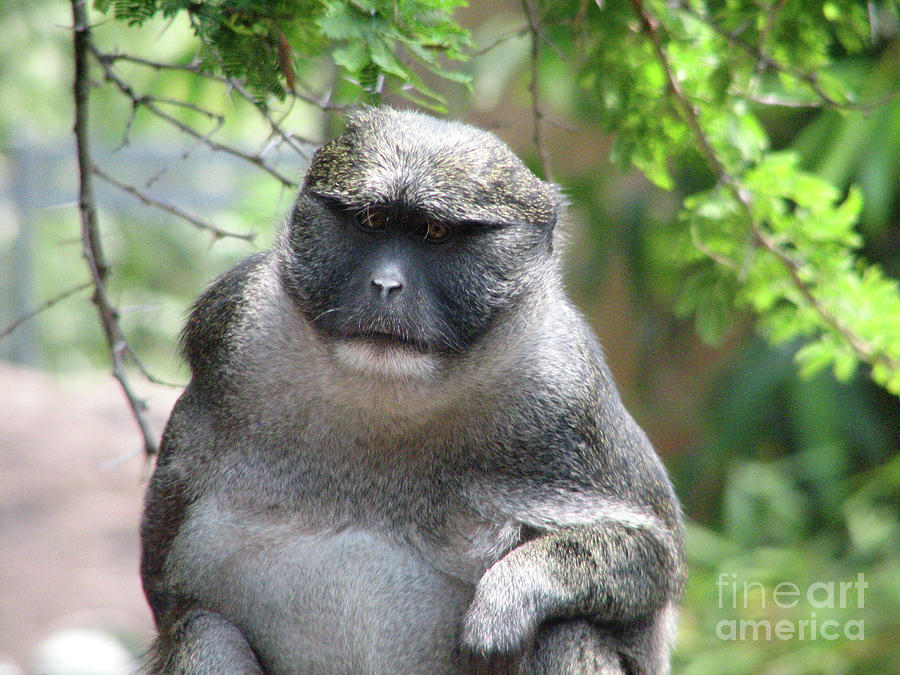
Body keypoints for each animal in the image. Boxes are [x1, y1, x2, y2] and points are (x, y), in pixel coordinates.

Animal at [140, 106, 685, 675]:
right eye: (371, 222)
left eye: (434, 232)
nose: (385, 285)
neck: (388, 401)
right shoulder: (231, 324)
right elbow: (168, 589)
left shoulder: (564, 384)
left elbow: (653, 557)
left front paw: (511, 595)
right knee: (205, 630)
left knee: (567, 630)